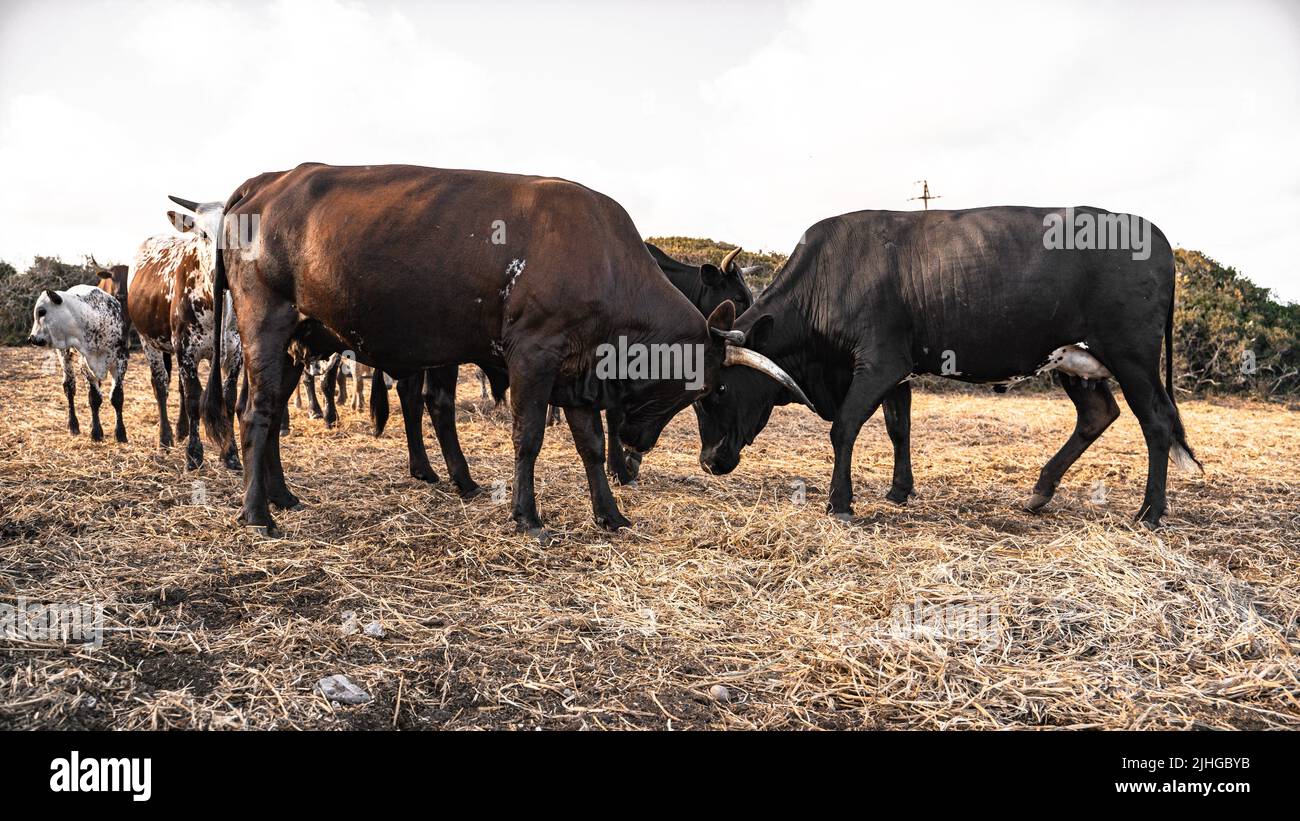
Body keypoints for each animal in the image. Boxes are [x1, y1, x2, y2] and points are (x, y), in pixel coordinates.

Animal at [28, 285, 128, 443]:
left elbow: (117, 397)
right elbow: (94, 398)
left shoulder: (121, 360)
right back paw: (73, 425)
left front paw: (120, 433)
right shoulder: (85, 363)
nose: (32, 338)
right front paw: (96, 432)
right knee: (69, 388)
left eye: (42, 311)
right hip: (64, 354)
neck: (96, 320)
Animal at [127, 202, 242, 469]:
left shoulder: (234, 353)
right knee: (160, 385)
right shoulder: (186, 350)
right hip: (148, 341)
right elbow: (193, 399)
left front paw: (231, 454)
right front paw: (194, 454)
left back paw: (181, 431)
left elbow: (228, 400)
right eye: (204, 234)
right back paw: (166, 438)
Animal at [194, 162, 802, 538]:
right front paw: (526, 516)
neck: (606, 260)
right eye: (709, 391)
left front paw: (610, 514)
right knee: (256, 412)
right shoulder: (534, 354)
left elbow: (589, 448)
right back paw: (257, 514)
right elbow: (528, 436)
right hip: (266, 323)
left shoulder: (577, 374)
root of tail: (269, 180)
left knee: (267, 411)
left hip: (299, 339)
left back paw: (282, 496)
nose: (638, 445)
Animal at [693, 206, 1201, 529]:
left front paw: (840, 502)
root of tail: (1155, 235)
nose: (709, 462)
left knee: (1156, 421)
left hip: (1132, 357)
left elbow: (845, 426)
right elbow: (898, 427)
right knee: (1098, 415)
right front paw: (899, 491)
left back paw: (1149, 513)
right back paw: (1040, 492)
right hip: (1074, 361)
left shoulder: (879, 363)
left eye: (718, 392)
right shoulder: (896, 372)